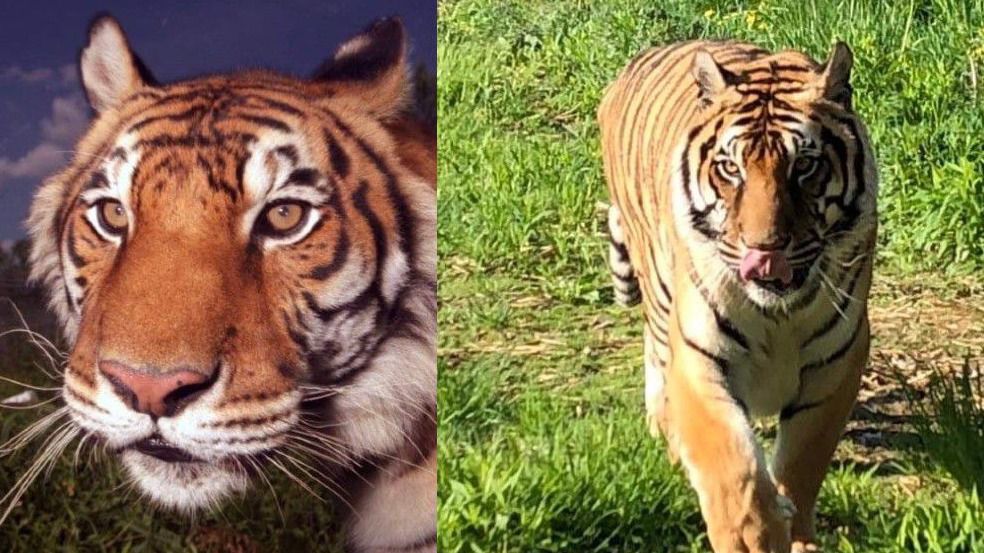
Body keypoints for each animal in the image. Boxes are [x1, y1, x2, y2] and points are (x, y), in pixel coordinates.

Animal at [596, 40, 880, 552]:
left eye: (804, 166)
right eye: (731, 168)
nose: (764, 249)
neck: (780, 315)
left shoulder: (837, 361)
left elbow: (802, 461)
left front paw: (797, 535)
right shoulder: (699, 354)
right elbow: (733, 464)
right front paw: (752, 536)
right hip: (660, 294)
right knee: (655, 352)